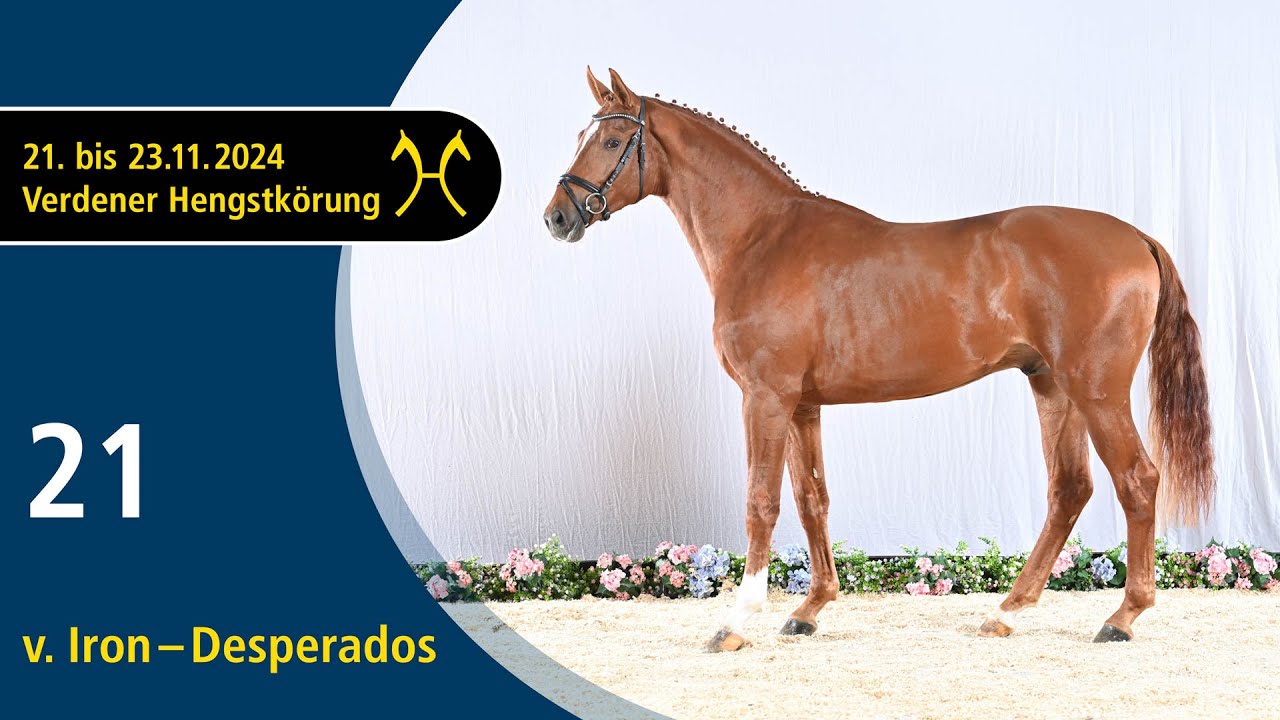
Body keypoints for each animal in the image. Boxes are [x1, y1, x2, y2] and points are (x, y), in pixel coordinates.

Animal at [543, 68, 1214, 652]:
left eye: (610, 140)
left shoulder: (764, 397)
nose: (557, 216)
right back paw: (1006, 613)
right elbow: (811, 498)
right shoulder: (802, 405)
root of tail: (1136, 238)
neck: (763, 238)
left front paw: (735, 622)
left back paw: (1122, 617)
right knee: (1070, 489)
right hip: (1052, 387)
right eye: (581, 137)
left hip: (1097, 391)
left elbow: (761, 502)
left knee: (1137, 481)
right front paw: (809, 610)